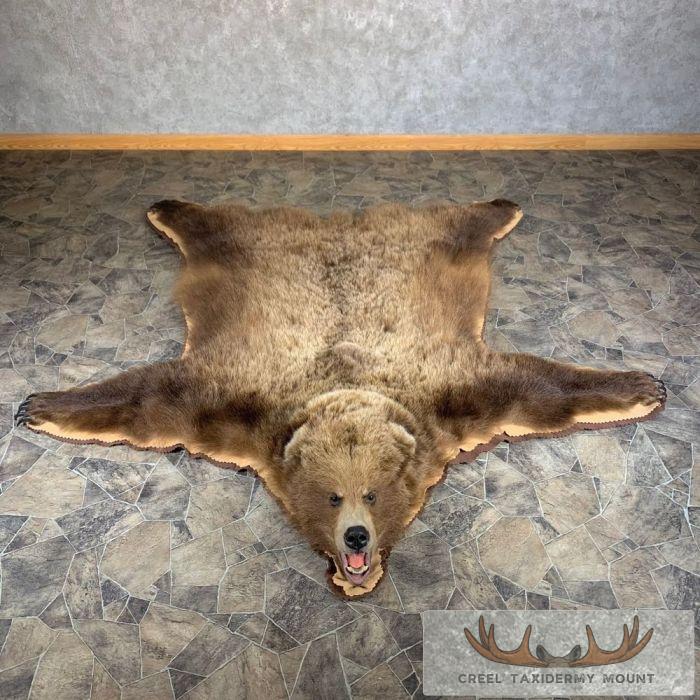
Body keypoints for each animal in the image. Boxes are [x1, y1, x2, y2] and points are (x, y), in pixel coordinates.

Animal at [15, 199, 666, 596]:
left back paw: (502, 207)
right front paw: (41, 405)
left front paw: (644, 386)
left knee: (458, 223)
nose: (356, 541)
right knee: (215, 225)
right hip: (241, 251)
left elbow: (537, 386)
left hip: (430, 246)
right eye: (332, 498)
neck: (344, 386)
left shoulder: (454, 393)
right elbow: (150, 396)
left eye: (373, 494)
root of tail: (337, 224)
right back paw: (167, 208)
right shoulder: (232, 402)